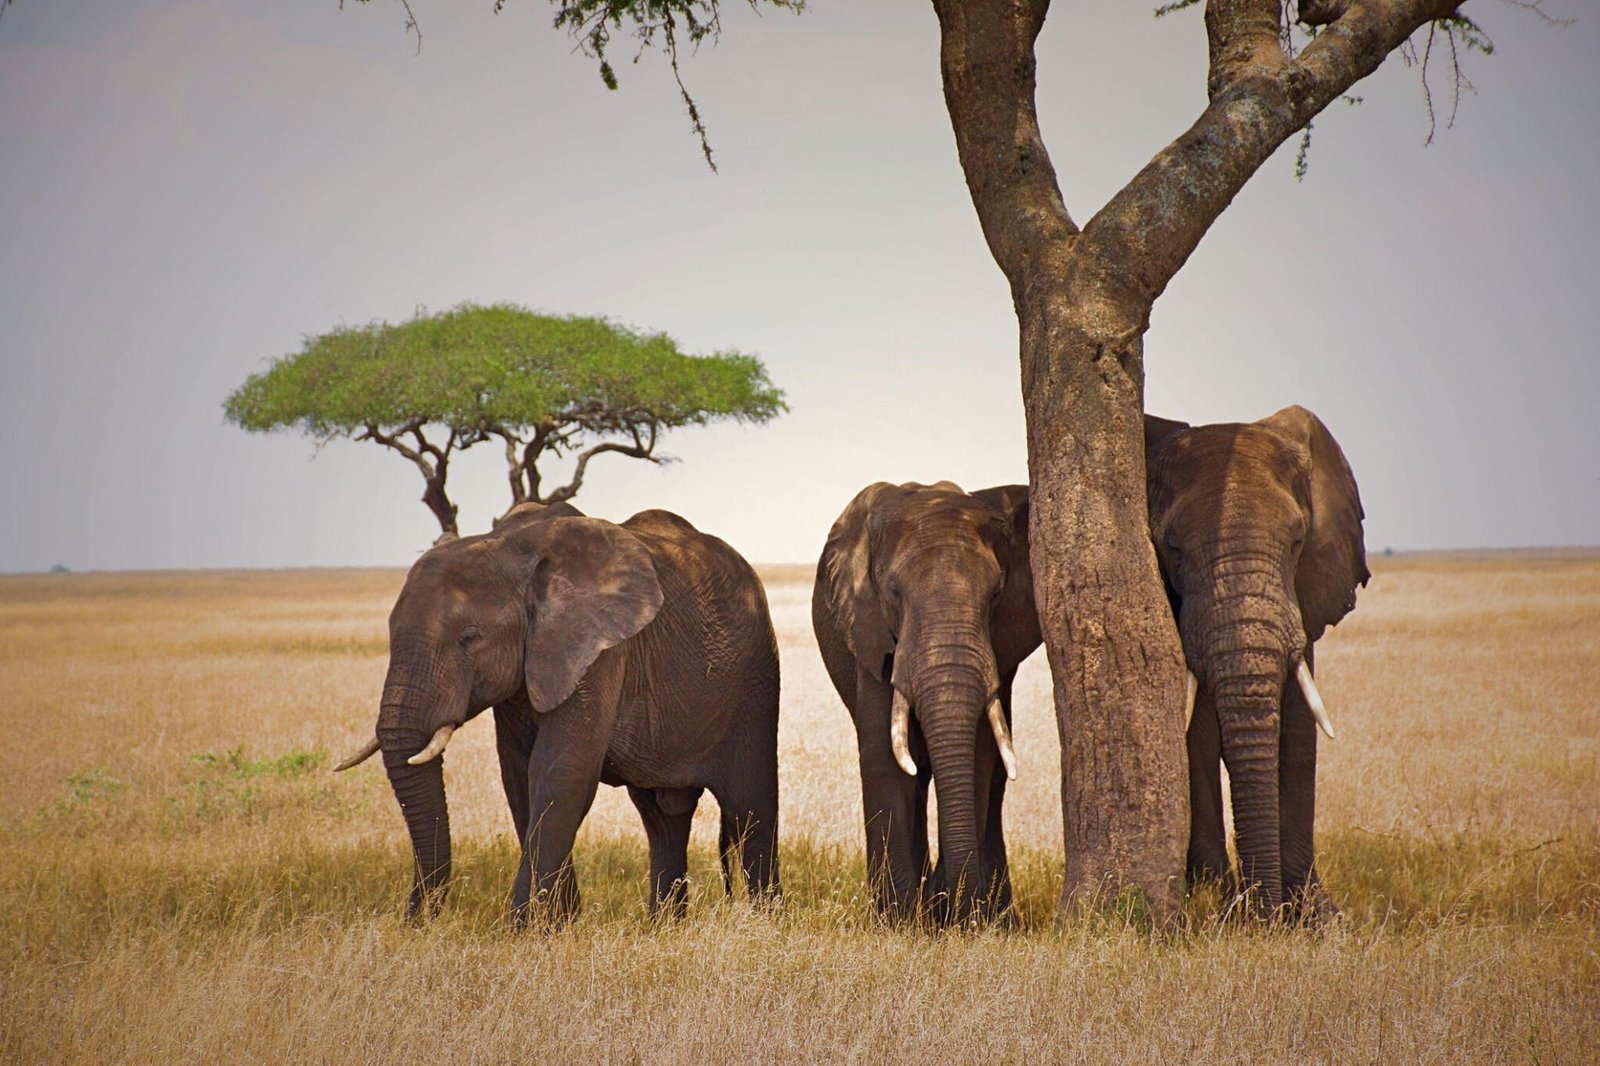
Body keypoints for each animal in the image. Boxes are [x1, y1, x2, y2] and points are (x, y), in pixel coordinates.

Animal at [336, 501, 780, 925]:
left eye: (469, 637)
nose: (414, 924)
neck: (509, 546)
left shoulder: (598, 651)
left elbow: (559, 774)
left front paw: (522, 930)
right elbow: (520, 779)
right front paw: (559, 925)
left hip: (753, 682)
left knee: (750, 807)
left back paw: (764, 924)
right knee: (662, 817)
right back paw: (665, 927)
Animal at [813, 481, 1040, 923]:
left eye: (997, 594)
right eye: (893, 592)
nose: (947, 903)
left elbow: (978, 759)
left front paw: (960, 917)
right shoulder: (871, 633)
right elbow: (884, 756)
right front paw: (899, 921)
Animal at [1144, 406, 1368, 920]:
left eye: (1298, 540)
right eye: (1173, 549)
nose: (1262, 915)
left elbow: (1300, 732)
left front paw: (1315, 917)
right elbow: (1197, 738)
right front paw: (1223, 906)